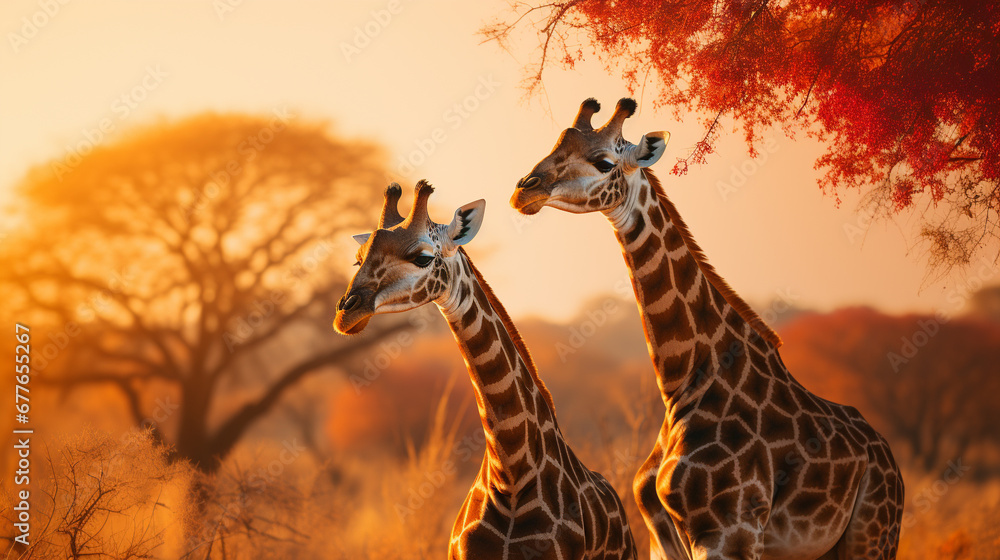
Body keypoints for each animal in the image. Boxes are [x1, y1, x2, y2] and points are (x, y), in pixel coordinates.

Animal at [510, 98, 904, 560]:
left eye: (604, 162)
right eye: (556, 143)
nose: (524, 190)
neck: (682, 379)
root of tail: (889, 458)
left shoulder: (730, 533)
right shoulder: (662, 536)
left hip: (873, 533)